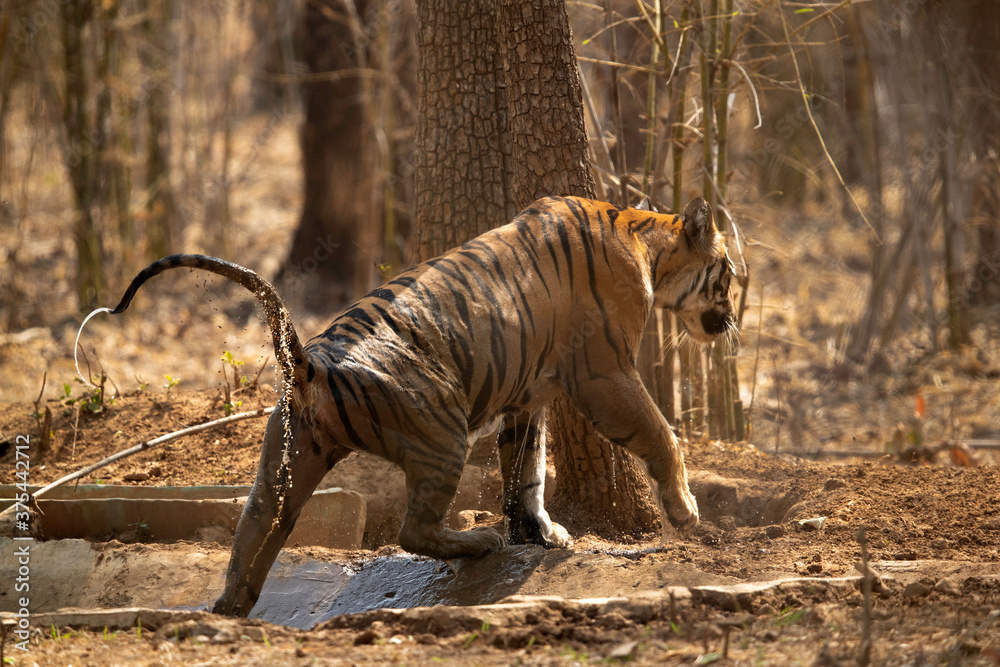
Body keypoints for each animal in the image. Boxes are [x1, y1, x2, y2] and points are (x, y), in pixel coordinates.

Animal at [108, 195, 738, 617]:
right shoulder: (604, 373)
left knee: (252, 528)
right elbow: (661, 434)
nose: (734, 317)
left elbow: (528, 469)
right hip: (443, 430)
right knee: (414, 530)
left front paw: (541, 531)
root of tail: (313, 364)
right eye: (730, 274)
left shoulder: (527, 398)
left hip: (286, 464)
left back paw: (232, 606)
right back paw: (479, 543)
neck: (645, 235)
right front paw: (684, 511)